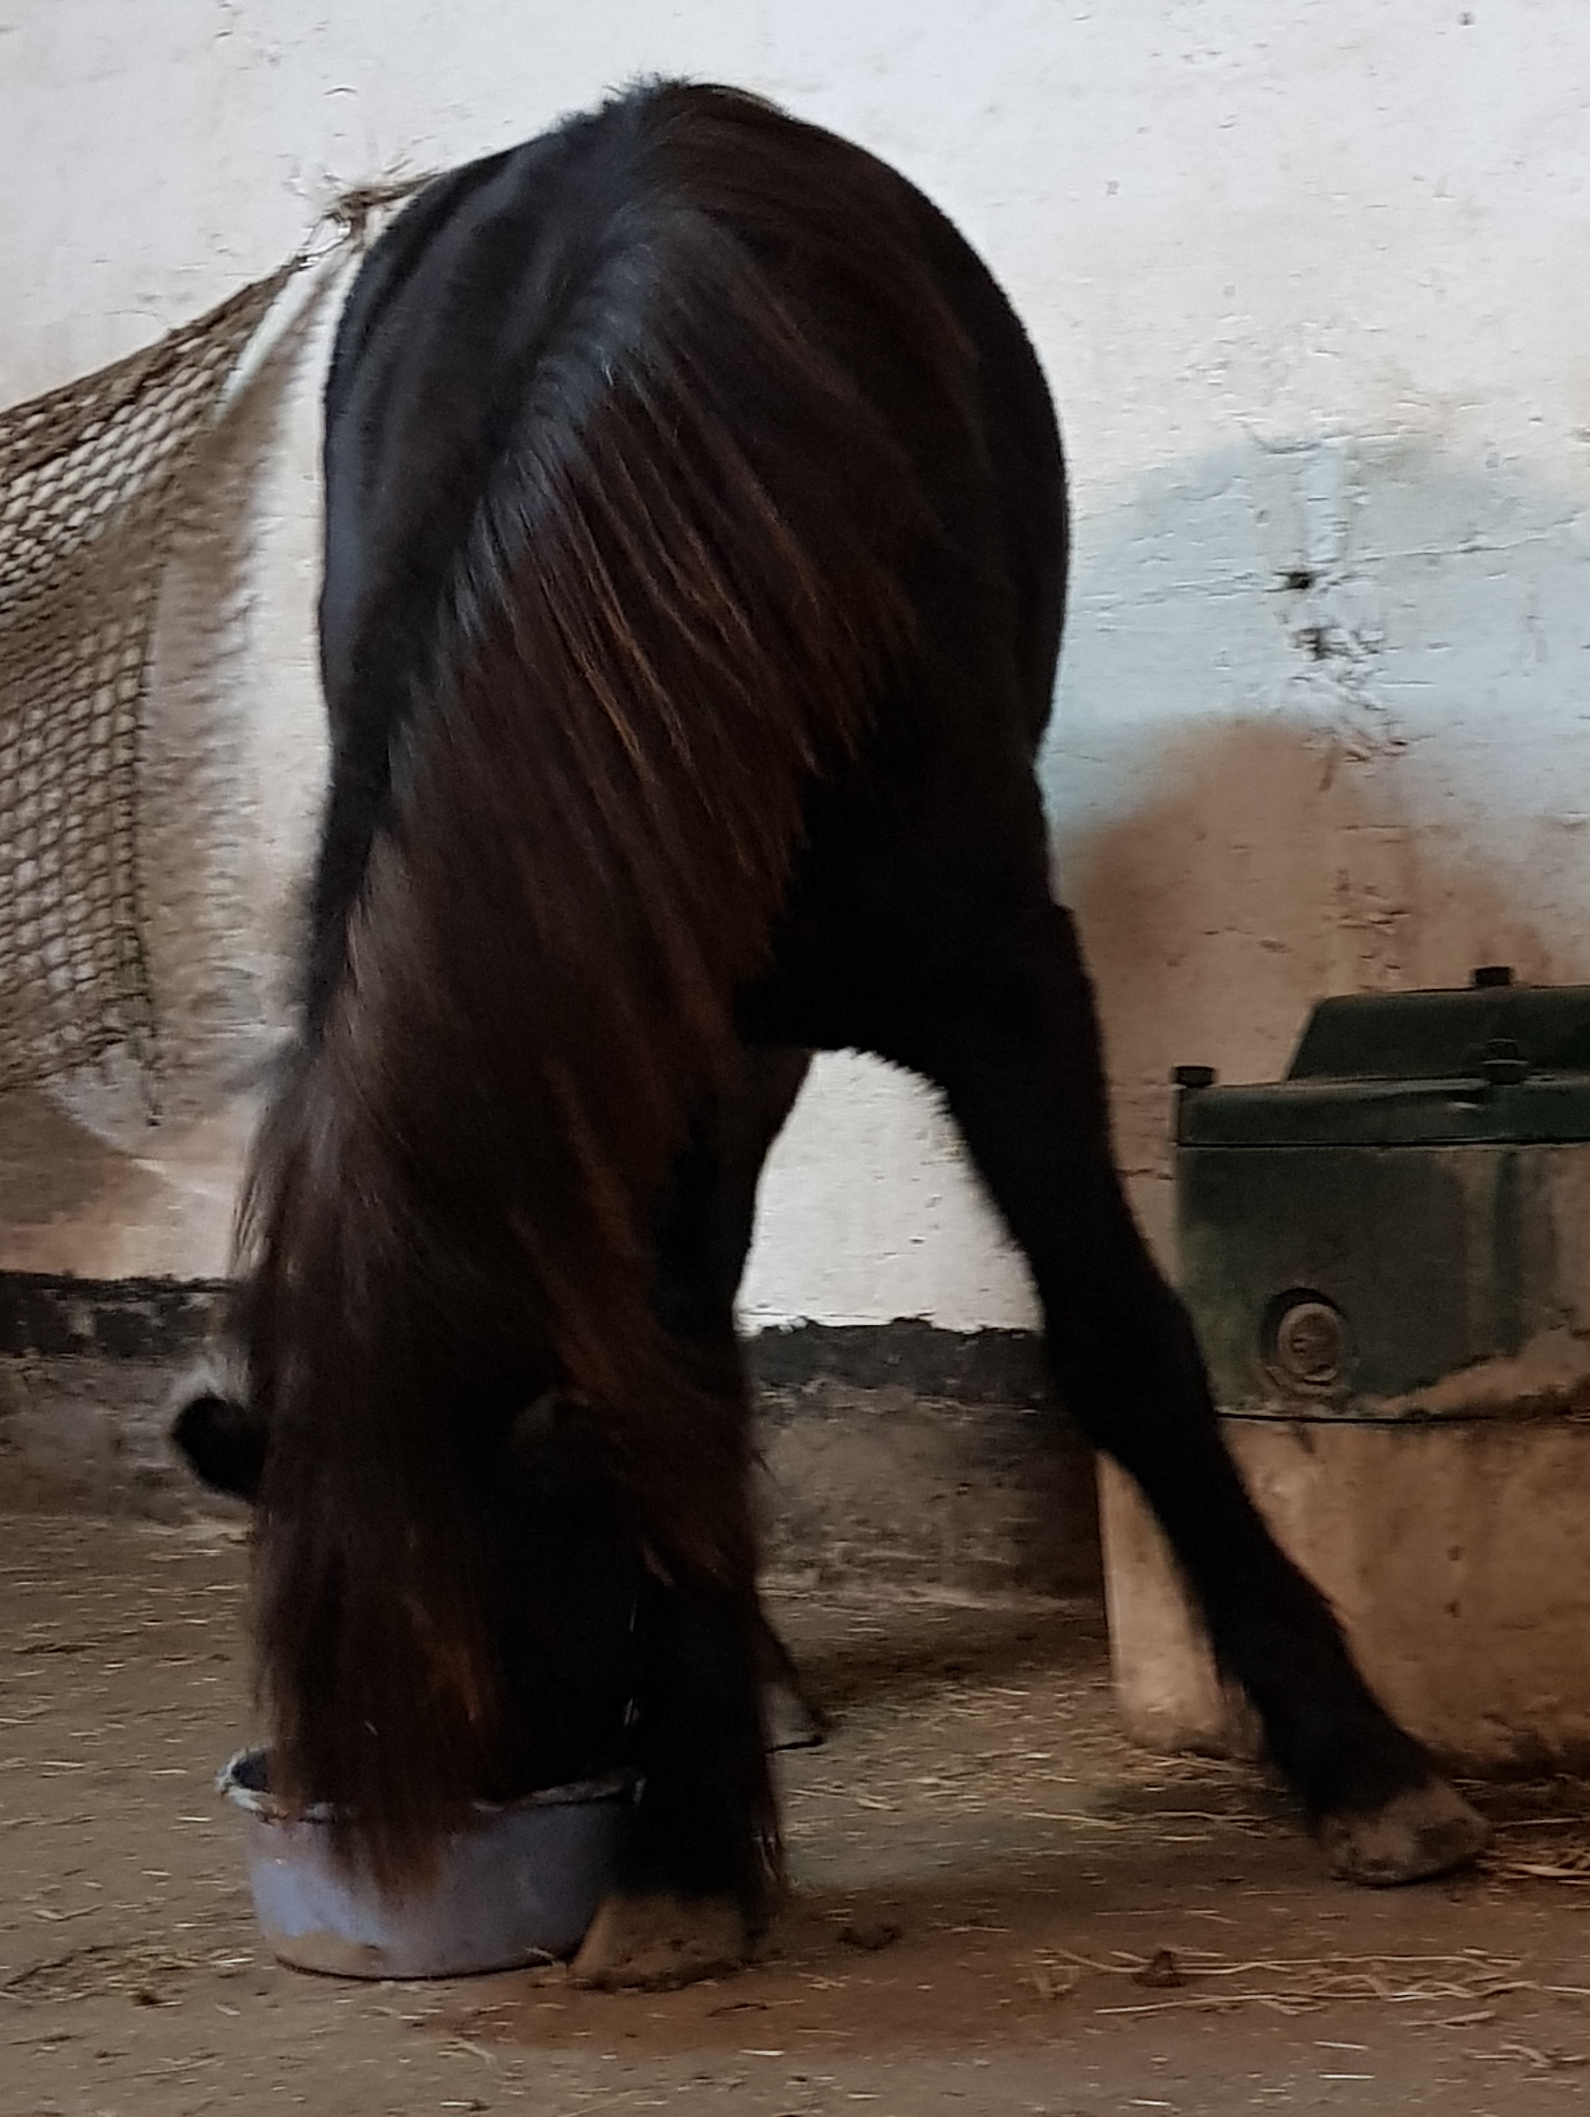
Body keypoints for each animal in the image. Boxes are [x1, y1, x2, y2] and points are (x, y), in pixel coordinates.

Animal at [172, 78, 1486, 1990]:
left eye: (526, 1661)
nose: (506, 1830)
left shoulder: (1006, 985)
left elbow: (1122, 1340)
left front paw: (1364, 1769)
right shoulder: (661, 1037)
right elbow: (683, 1378)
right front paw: (691, 1842)